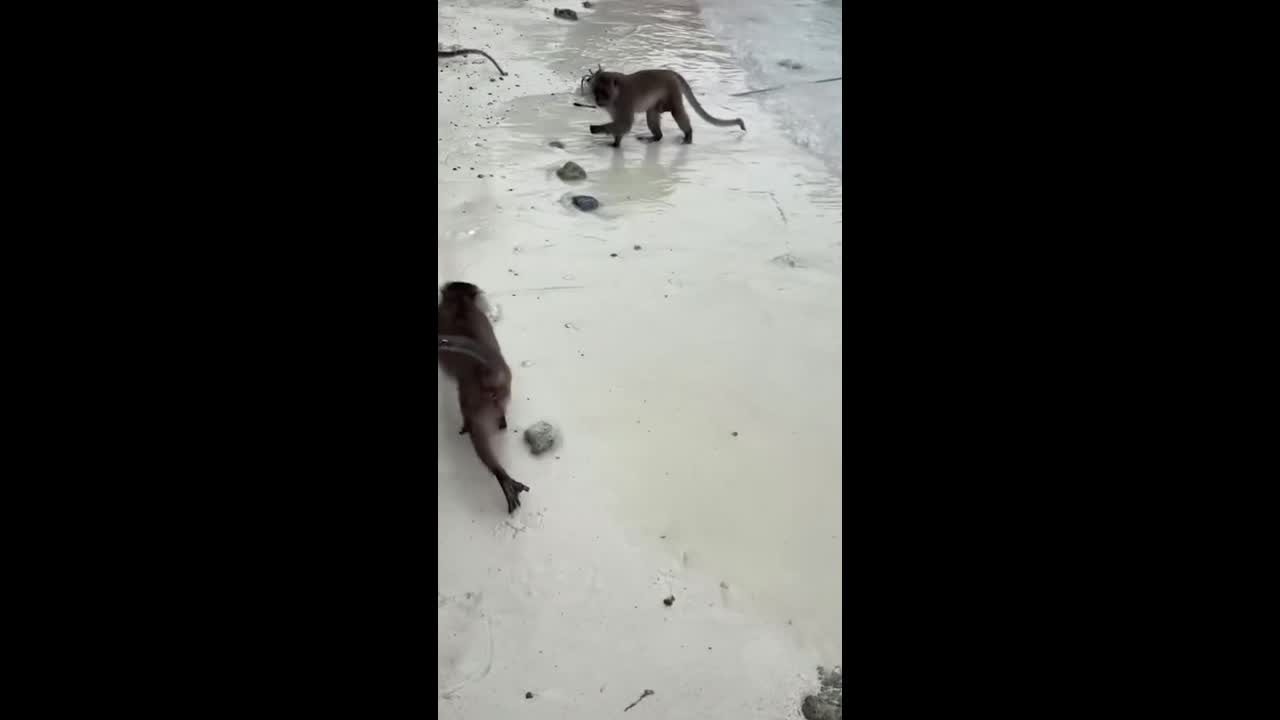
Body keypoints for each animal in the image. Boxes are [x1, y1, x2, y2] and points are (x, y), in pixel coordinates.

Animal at [438, 282, 529, 513]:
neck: (460, 301)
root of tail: (489, 372)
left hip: (472, 401)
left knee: (476, 432)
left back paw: (501, 475)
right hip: (501, 393)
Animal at [586, 68, 746, 147]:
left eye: (603, 93)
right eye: (596, 92)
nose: (598, 100)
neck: (616, 94)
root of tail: (669, 72)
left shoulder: (623, 102)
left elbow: (625, 124)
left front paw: (596, 129)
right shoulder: (613, 107)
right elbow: (622, 125)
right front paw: (616, 143)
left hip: (672, 89)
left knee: (677, 112)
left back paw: (688, 135)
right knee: (652, 113)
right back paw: (657, 137)